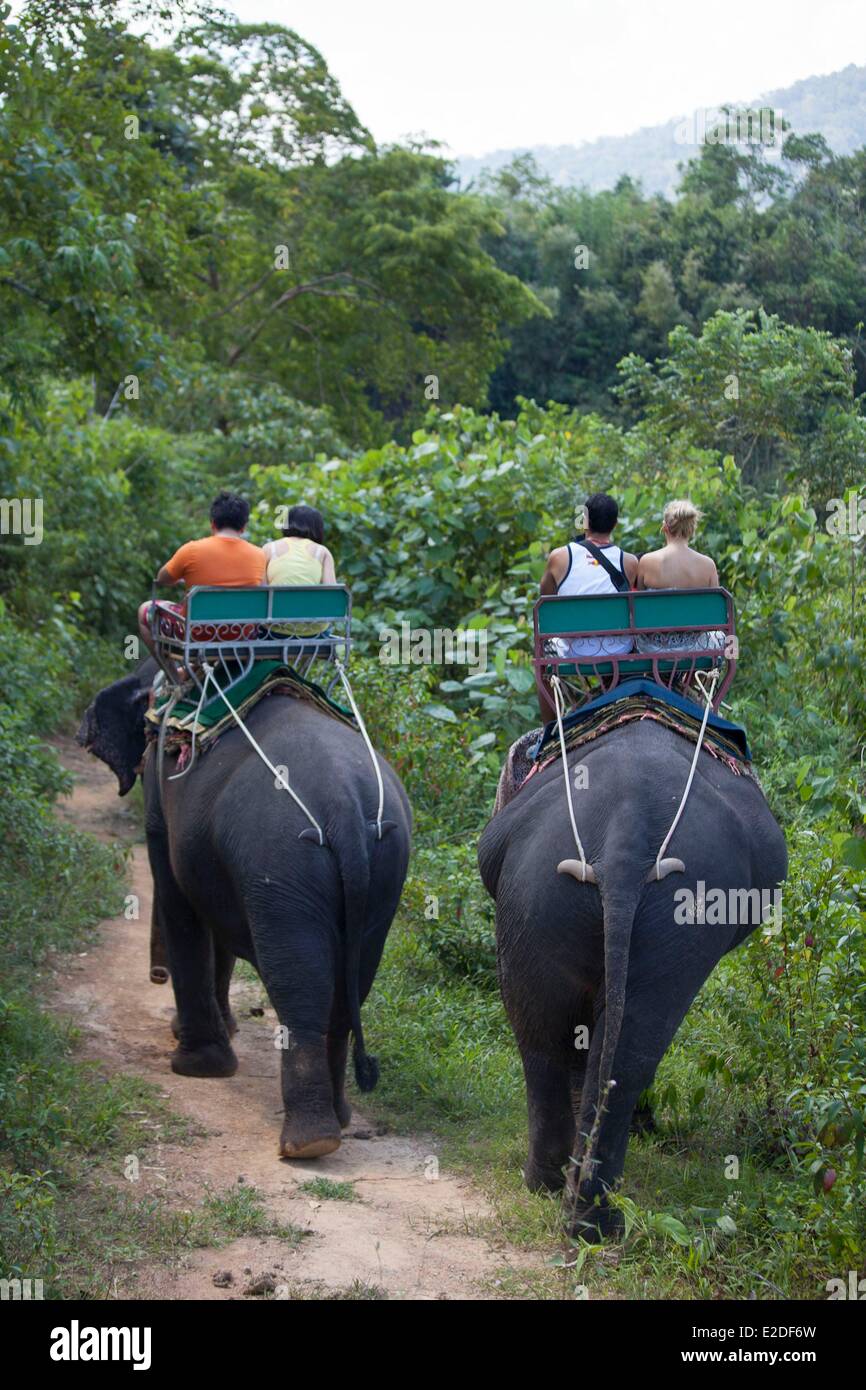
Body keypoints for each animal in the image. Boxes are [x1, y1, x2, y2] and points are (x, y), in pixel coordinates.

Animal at [78, 658, 411, 1159]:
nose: (156, 975)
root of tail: (346, 812)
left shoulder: (162, 801)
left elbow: (179, 897)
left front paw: (196, 1065)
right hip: (383, 873)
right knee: (351, 983)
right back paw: (337, 1121)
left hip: (281, 864)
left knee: (298, 982)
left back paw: (306, 1143)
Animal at [477, 715, 787, 1238]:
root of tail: (628, 827)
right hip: (665, 910)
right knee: (621, 1041)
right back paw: (578, 1205)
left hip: (539, 896)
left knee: (556, 1037)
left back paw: (569, 1202)